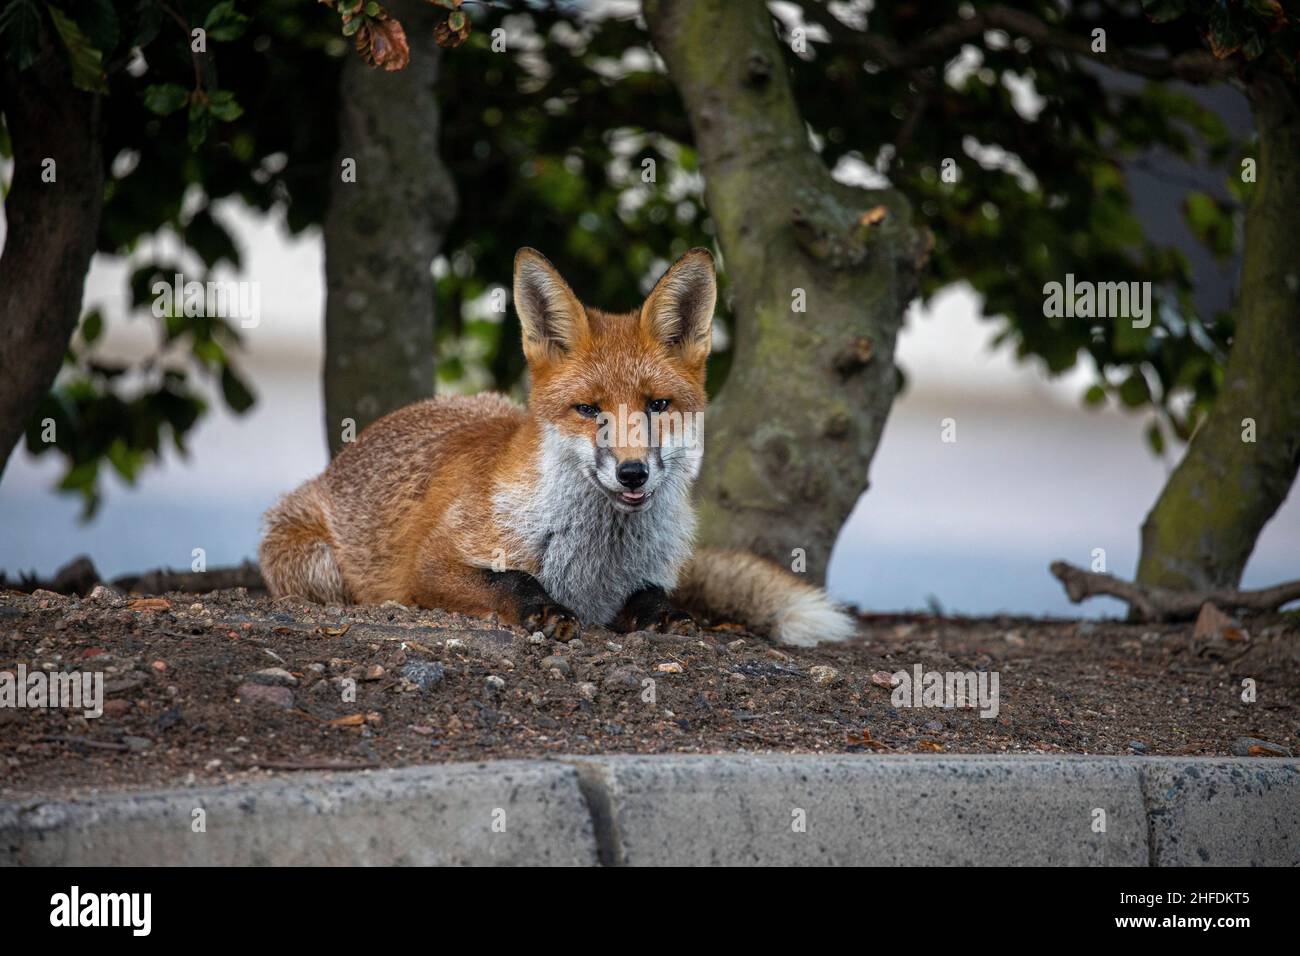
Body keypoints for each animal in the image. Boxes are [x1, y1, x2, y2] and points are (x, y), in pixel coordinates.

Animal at [258, 247, 856, 646]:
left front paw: (663, 613)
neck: (593, 559)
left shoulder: (650, 575)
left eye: (657, 405)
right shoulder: (426, 567)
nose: (633, 473)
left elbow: (653, 595)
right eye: (589, 409)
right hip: (316, 565)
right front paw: (542, 609)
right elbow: (510, 578)